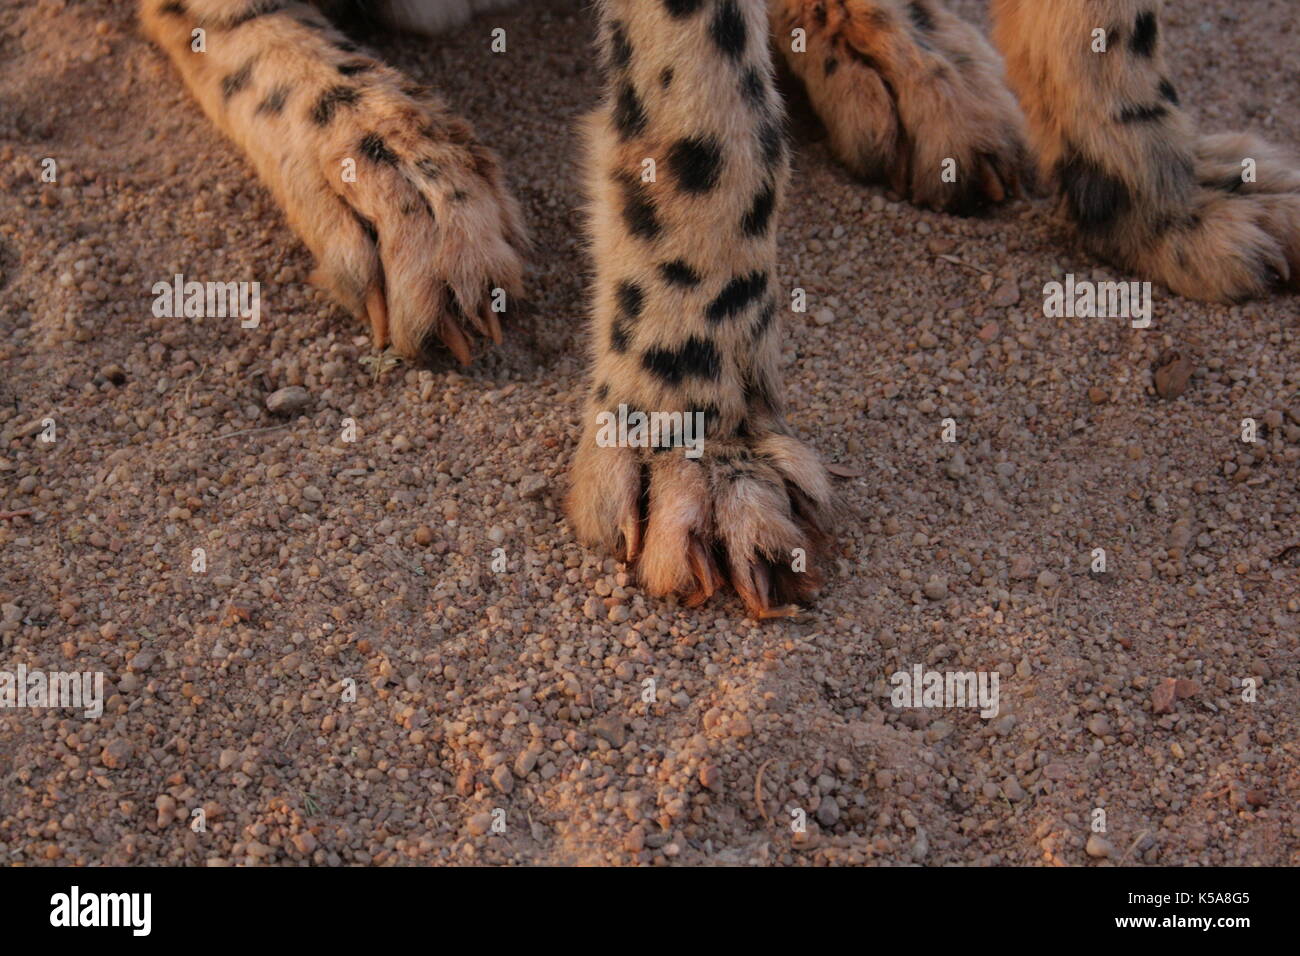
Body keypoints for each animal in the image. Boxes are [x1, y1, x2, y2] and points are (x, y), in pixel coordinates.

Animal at [138, 0, 1300, 619]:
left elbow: (1111, 25)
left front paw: (1157, 190)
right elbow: (700, 113)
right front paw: (695, 436)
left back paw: (906, 54)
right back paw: (393, 168)